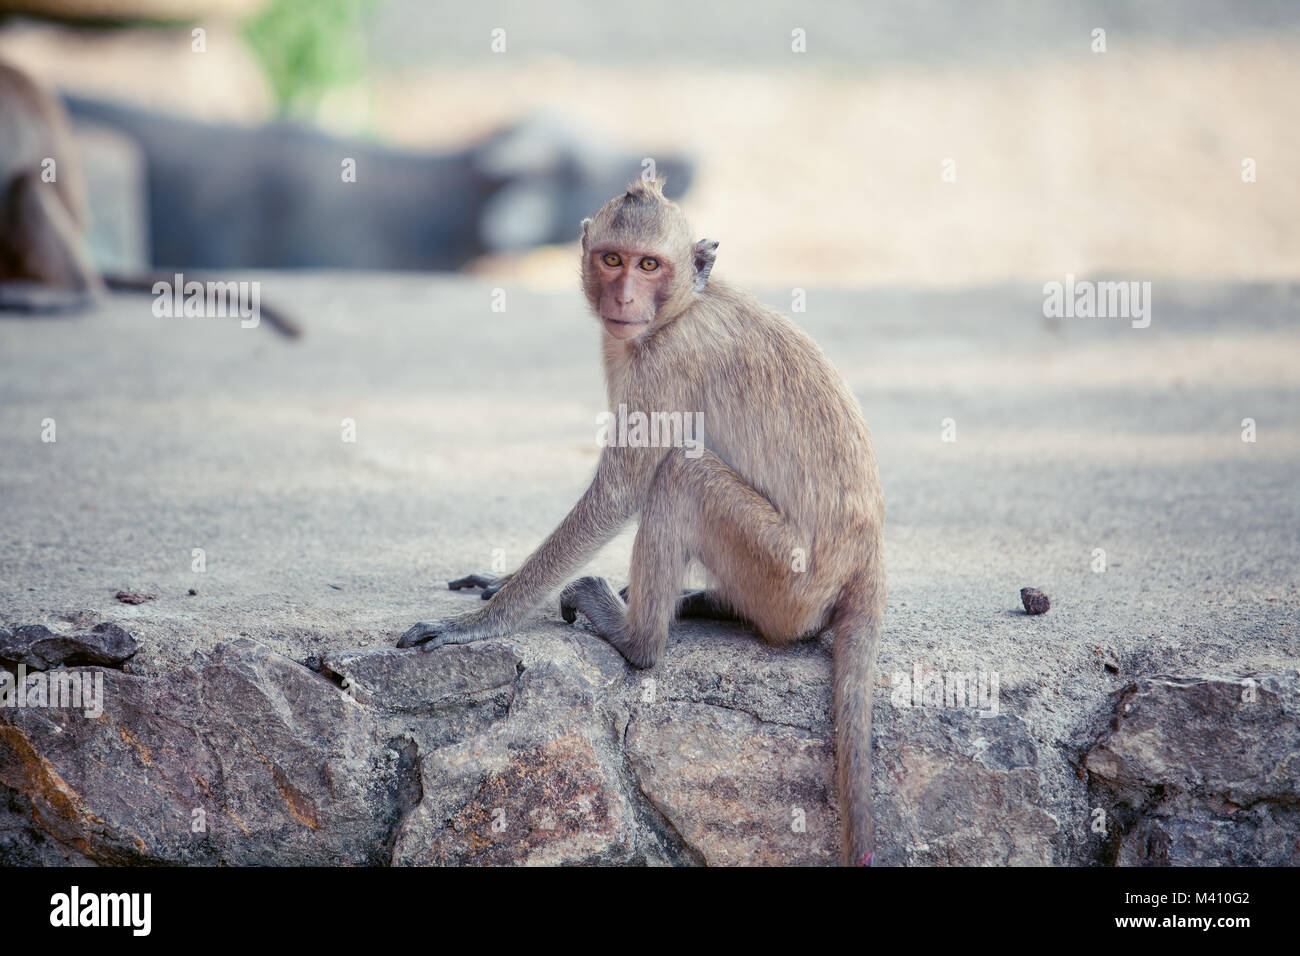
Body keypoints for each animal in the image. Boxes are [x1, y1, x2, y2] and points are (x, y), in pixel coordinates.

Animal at [399, 179, 885, 867]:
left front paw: (481, 622)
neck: (680, 310)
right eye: (613, 259)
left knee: (679, 476)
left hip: (788, 572)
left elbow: (623, 489)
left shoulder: (667, 361)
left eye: (650, 264)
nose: (624, 295)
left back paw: (637, 640)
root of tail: (869, 561)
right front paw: (502, 583)